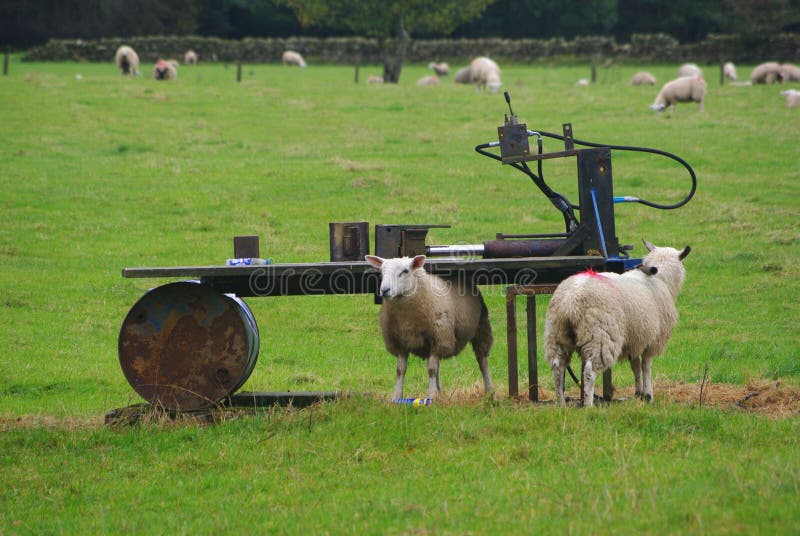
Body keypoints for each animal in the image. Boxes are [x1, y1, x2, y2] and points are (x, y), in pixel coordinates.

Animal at [364, 255, 494, 400]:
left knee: (482, 360)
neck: (406, 319)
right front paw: (396, 395)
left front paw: (431, 396)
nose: (385, 290)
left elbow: (431, 370)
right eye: (381, 271)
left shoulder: (439, 338)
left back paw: (490, 390)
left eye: (405, 271)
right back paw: (440, 393)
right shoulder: (400, 343)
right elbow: (400, 370)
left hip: (480, 327)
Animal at [544, 240, 691, 407]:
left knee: (557, 367)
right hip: (599, 335)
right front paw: (649, 395)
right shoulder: (653, 340)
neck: (660, 278)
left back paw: (561, 403)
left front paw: (639, 393)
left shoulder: (635, 338)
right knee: (589, 371)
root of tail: (571, 300)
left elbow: (635, 366)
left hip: (557, 333)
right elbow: (646, 366)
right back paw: (588, 405)